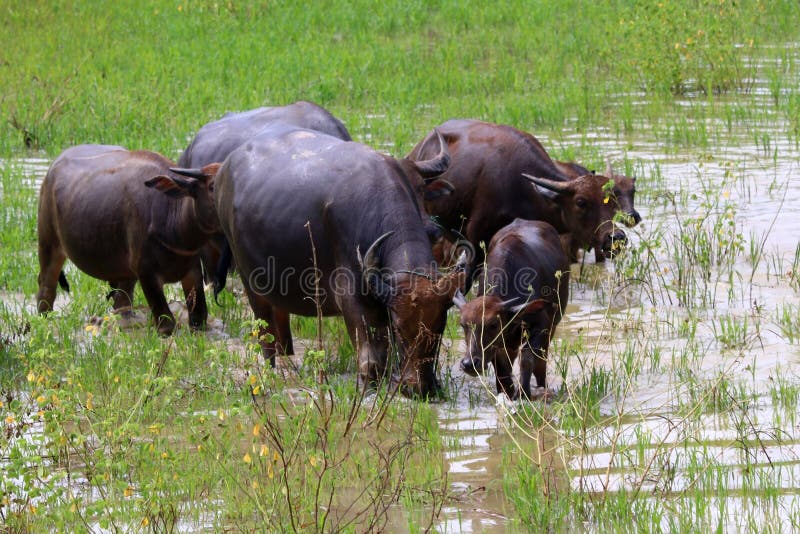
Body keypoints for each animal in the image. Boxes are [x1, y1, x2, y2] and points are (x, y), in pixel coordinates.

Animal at [36, 144, 219, 335]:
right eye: (212, 186)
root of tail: (51, 171)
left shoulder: (193, 270)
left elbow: (199, 317)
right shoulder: (147, 273)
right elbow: (166, 324)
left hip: (125, 269)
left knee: (122, 300)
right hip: (48, 243)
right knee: (46, 288)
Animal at [206, 125, 464, 397]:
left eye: (440, 327)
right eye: (400, 328)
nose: (421, 387)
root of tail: (224, 171)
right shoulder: (354, 301)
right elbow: (371, 361)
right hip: (250, 282)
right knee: (265, 332)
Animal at [454, 219, 569, 399]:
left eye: (493, 325)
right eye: (463, 324)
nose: (469, 364)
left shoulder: (542, 326)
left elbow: (528, 359)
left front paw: (523, 392)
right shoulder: (501, 345)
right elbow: (501, 366)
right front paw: (506, 392)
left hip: (551, 328)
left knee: (541, 361)